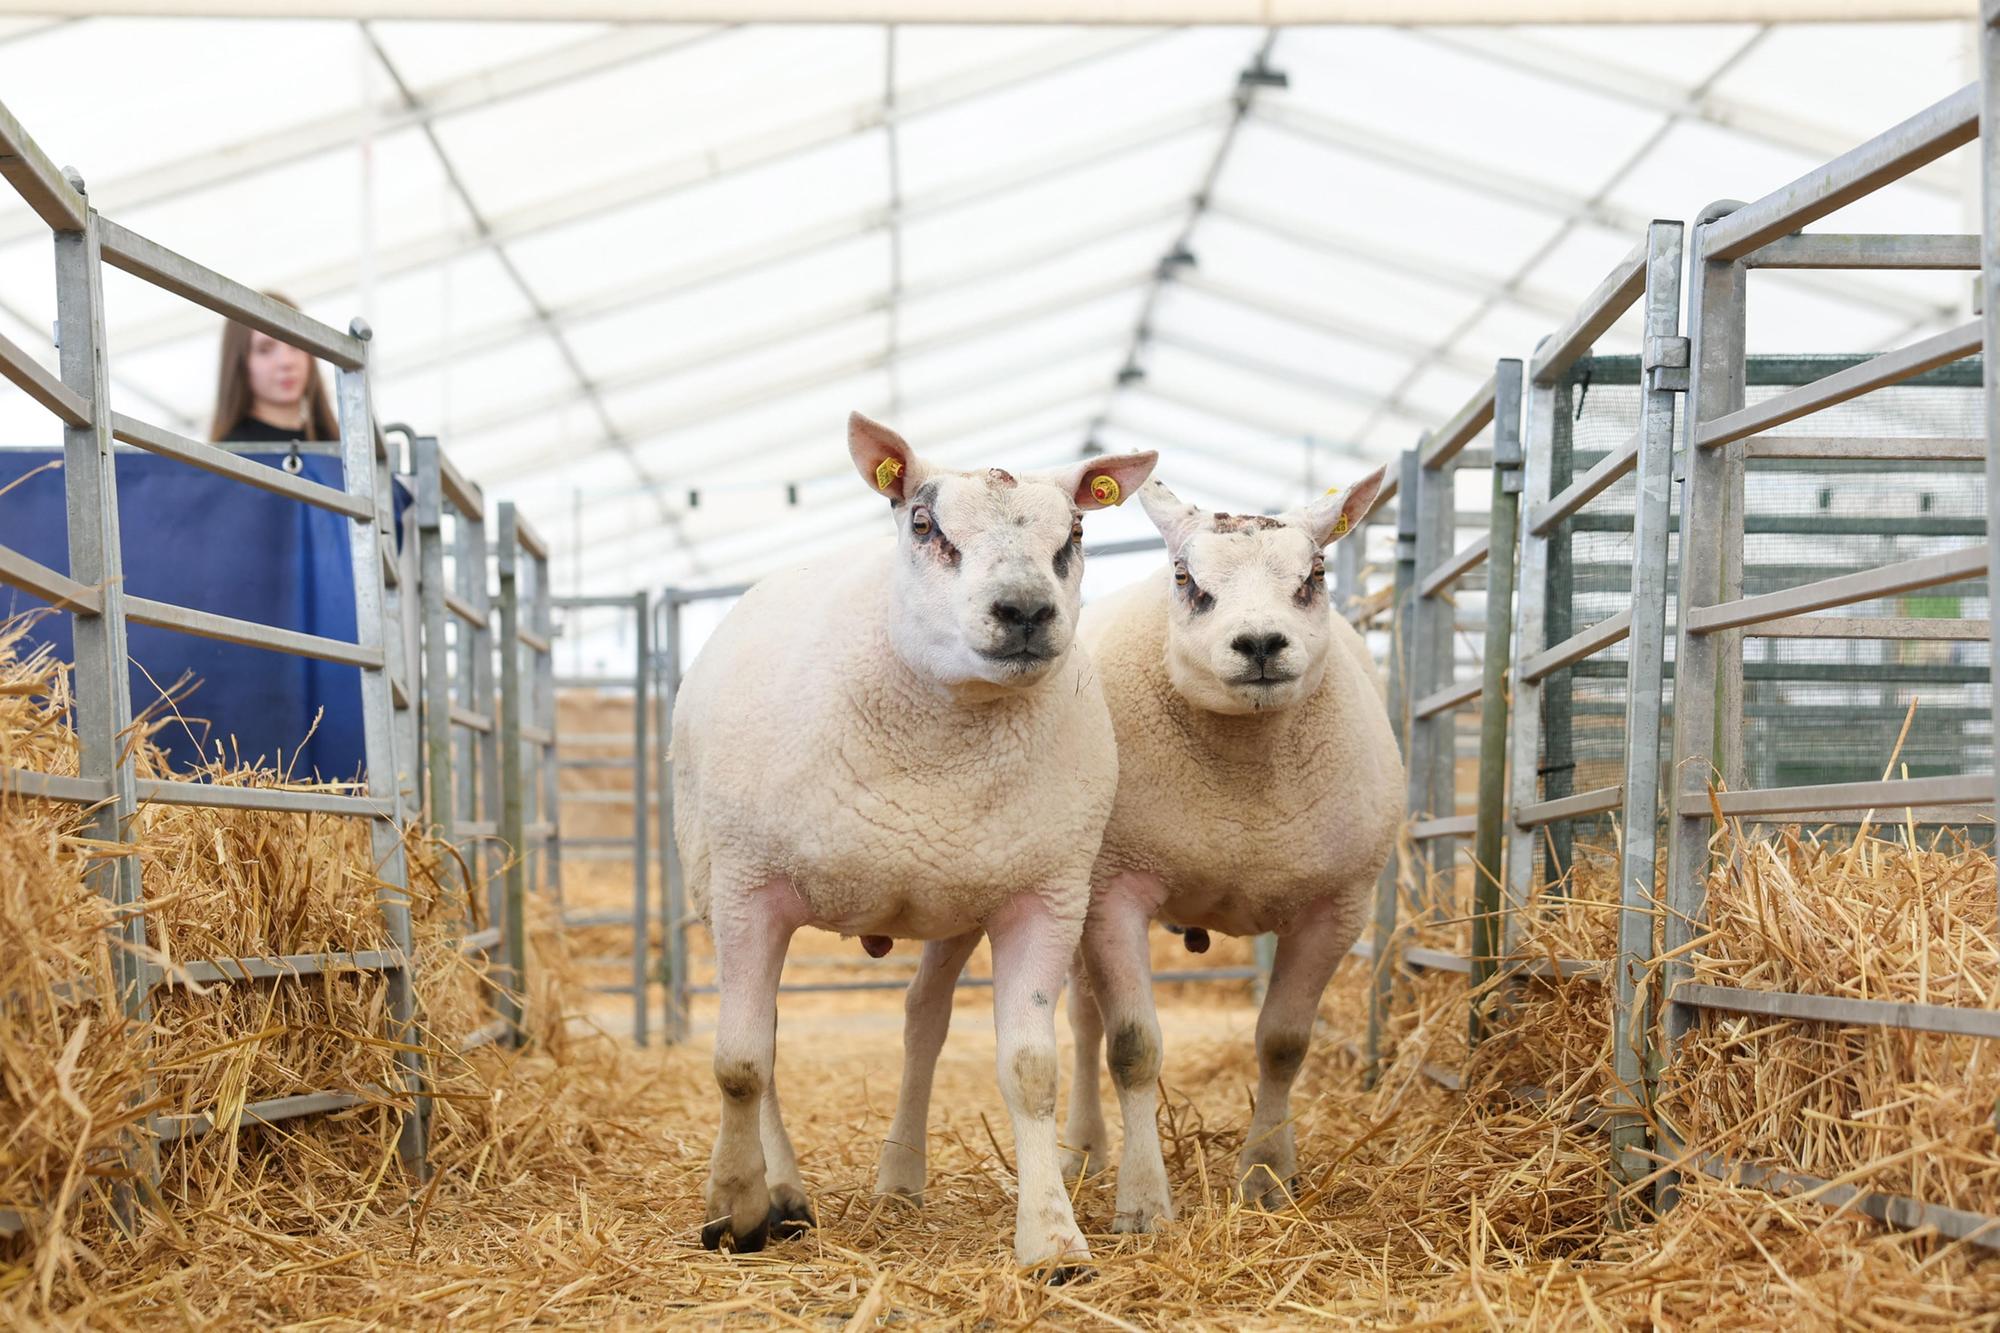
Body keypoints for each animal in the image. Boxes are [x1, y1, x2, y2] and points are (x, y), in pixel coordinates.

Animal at [671, 412, 1155, 1269]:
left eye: (1074, 530)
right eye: (925, 525)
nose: (1024, 609)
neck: (938, 747)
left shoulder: (1047, 894)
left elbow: (1031, 1070)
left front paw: (1054, 1240)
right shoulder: (747, 887)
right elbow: (740, 1062)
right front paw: (734, 1207)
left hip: (954, 901)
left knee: (922, 1021)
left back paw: (899, 1177)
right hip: (715, 879)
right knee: (762, 1042)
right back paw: (785, 1194)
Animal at [1059, 470, 1399, 1232]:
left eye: (1315, 573)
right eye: (1186, 576)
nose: (1261, 642)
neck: (1243, 786)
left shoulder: (1339, 904)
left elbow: (1284, 1043)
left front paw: (1268, 1175)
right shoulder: (1112, 890)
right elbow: (1132, 1047)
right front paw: (1143, 1202)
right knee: (1085, 1025)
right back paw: (1083, 1150)